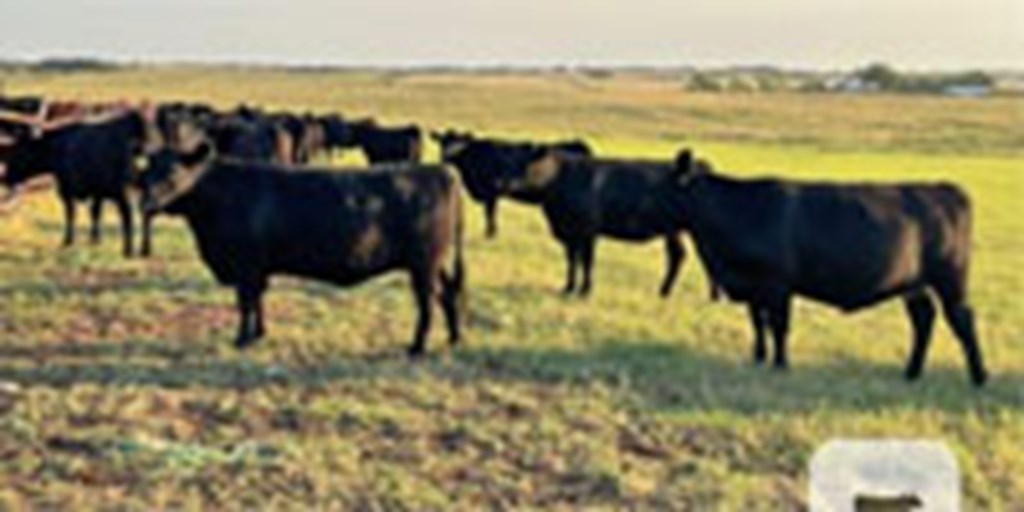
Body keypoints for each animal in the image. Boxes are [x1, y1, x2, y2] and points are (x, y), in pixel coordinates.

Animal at [1, 110, 162, 257]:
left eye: (19, 151)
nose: (6, 177)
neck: (57, 147)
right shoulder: (97, 192)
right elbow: (95, 213)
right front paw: (95, 240)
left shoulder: (66, 189)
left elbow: (71, 213)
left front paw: (67, 241)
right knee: (146, 214)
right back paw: (145, 250)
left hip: (124, 191)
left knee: (128, 216)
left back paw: (127, 250)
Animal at [137, 142, 465, 354]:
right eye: (146, 172)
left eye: (171, 172)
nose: (145, 204)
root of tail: (441, 170)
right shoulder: (258, 269)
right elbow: (258, 300)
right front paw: (258, 334)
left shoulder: (246, 266)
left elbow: (246, 303)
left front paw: (241, 340)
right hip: (436, 264)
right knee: (448, 294)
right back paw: (453, 338)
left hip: (423, 264)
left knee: (427, 303)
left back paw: (417, 346)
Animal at [432, 130, 593, 238]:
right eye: (443, 142)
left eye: (459, 144)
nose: (446, 156)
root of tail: (577, 142)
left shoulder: (491, 192)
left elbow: (490, 213)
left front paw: (490, 234)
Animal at [669, 149, 987, 386]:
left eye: (658, 180)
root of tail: (943, 188)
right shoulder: (753, 288)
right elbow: (758, 323)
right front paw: (759, 359)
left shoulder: (777, 286)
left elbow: (779, 326)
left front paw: (780, 365)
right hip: (913, 284)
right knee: (924, 319)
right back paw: (912, 372)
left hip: (950, 280)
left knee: (962, 318)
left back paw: (979, 377)